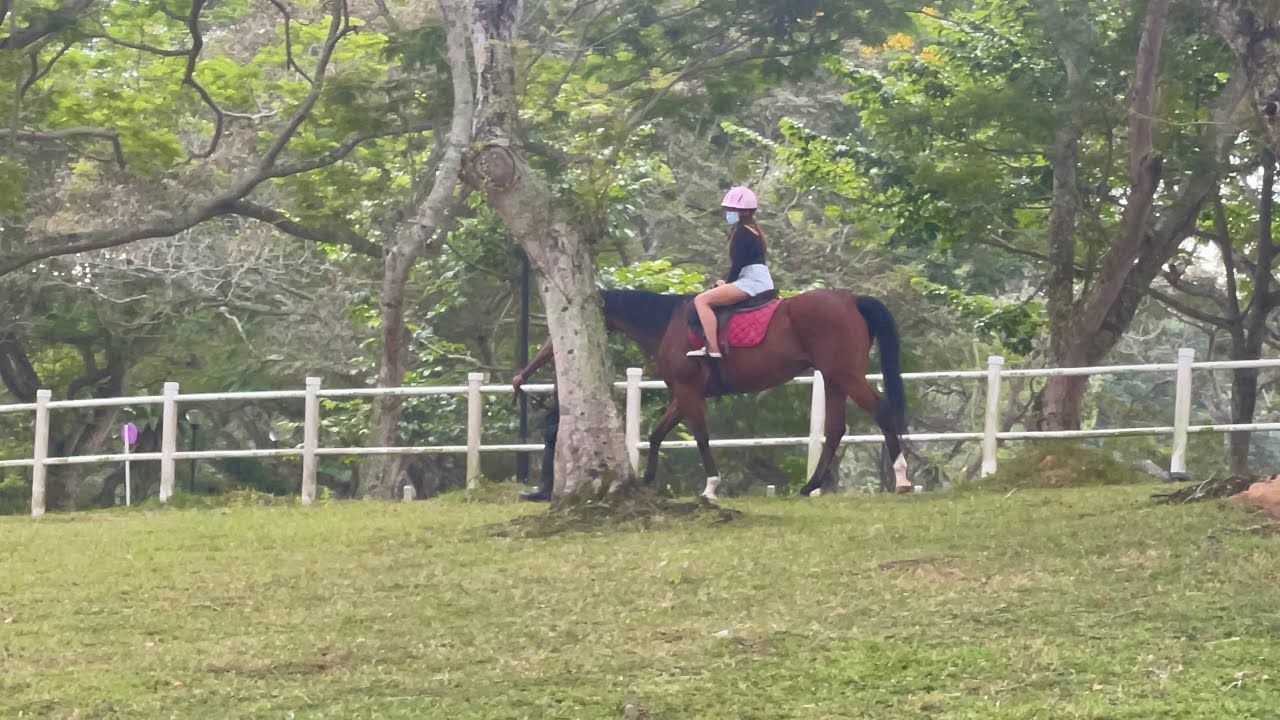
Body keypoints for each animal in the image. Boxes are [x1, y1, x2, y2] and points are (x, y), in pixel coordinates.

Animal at [519, 288, 908, 499]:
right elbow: (657, 434)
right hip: (833, 379)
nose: (544, 356)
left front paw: (710, 487)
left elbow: (702, 437)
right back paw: (810, 485)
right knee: (835, 430)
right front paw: (647, 479)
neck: (668, 323)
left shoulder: (689, 394)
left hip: (844, 375)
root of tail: (851, 299)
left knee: (882, 413)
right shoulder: (683, 395)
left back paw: (902, 479)